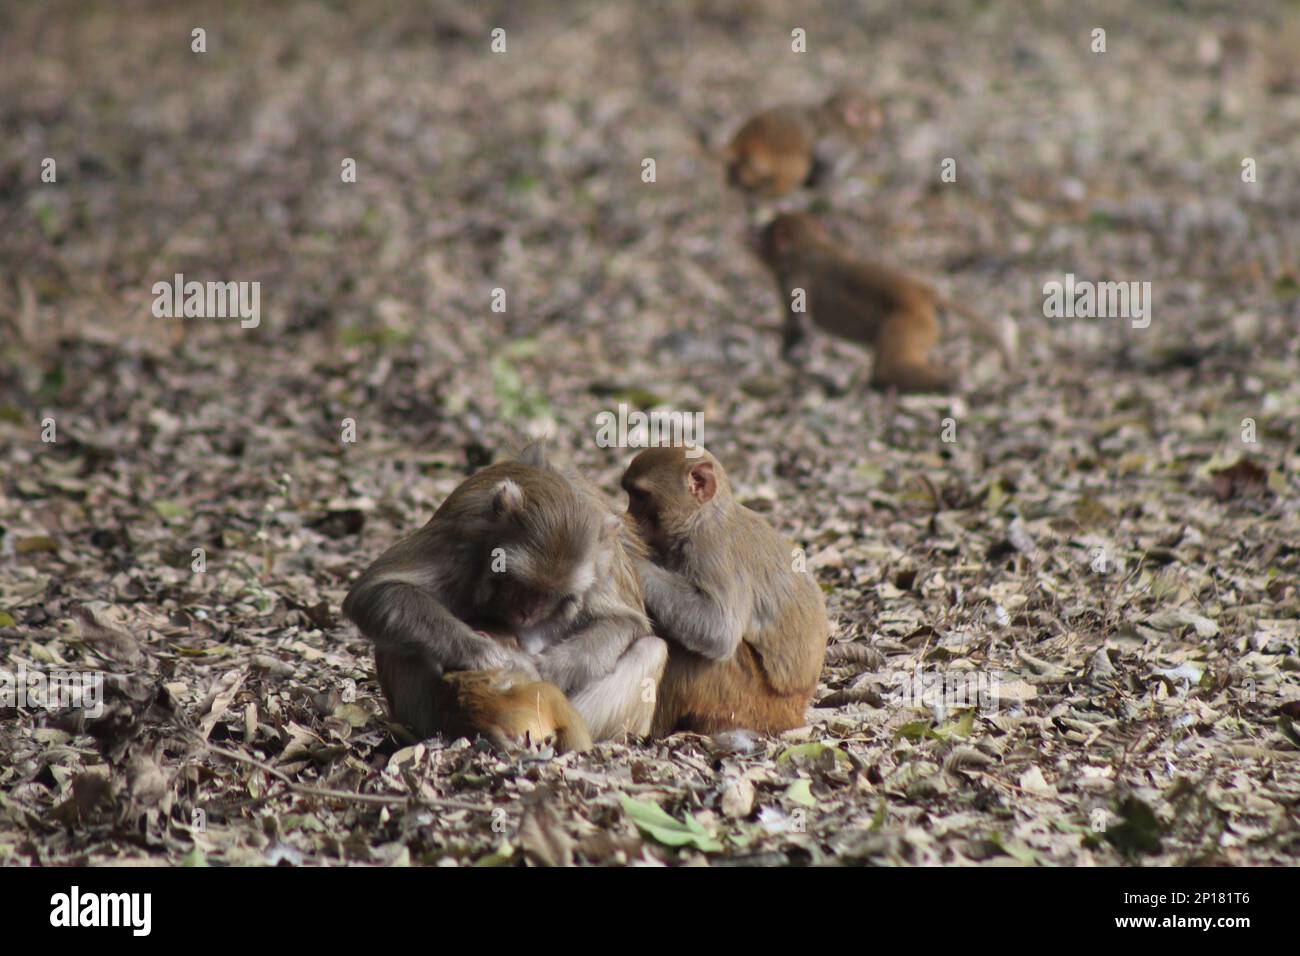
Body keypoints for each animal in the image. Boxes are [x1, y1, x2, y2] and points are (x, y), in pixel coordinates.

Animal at [341, 444, 667, 751]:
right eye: (519, 582)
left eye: (555, 594)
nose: (527, 613)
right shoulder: (462, 530)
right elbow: (378, 589)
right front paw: (489, 656)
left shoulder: (603, 559)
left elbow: (623, 620)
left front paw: (538, 668)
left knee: (651, 648)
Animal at [619, 446, 829, 737]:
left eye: (639, 496)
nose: (629, 515)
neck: (703, 517)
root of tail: (797, 711)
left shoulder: (710, 549)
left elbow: (718, 629)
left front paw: (631, 554)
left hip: (751, 703)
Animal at [757, 212, 1017, 393]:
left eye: (765, 237)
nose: (754, 241)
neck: (808, 245)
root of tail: (926, 294)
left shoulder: (791, 282)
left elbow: (797, 327)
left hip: (907, 322)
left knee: (887, 367)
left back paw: (944, 380)